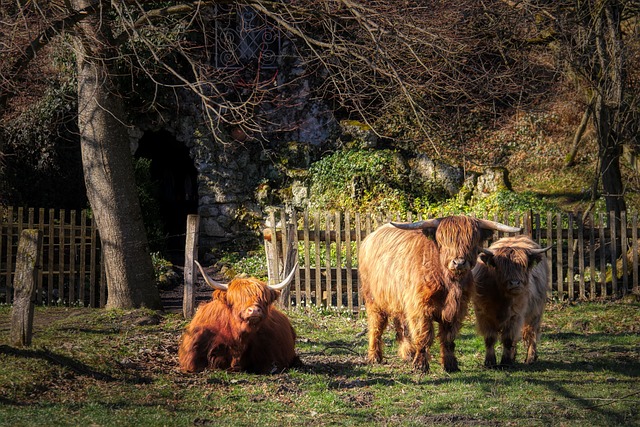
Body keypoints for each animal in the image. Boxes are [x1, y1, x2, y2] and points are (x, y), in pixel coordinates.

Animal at [359, 215, 521, 373]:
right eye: (445, 241)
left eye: (472, 241)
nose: (459, 262)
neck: (449, 282)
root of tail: (371, 236)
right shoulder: (419, 308)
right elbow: (424, 335)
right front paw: (420, 365)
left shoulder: (456, 309)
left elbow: (448, 338)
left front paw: (450, 364)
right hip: (373, 299)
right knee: (376, 326)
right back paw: (374, 357)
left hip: (398, 300)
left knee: (401, 325)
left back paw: (408, 353)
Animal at [472, 235, 551, 368]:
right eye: (501, 266)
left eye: (523, 265)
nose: (515, 283)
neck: (501, 298)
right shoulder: (483, 314)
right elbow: (490, 338)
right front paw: (490, 362)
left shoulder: (515, 315)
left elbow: (508, 339)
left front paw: (505, 362)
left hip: (536, 310)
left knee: (532, 332)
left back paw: (530, 358)